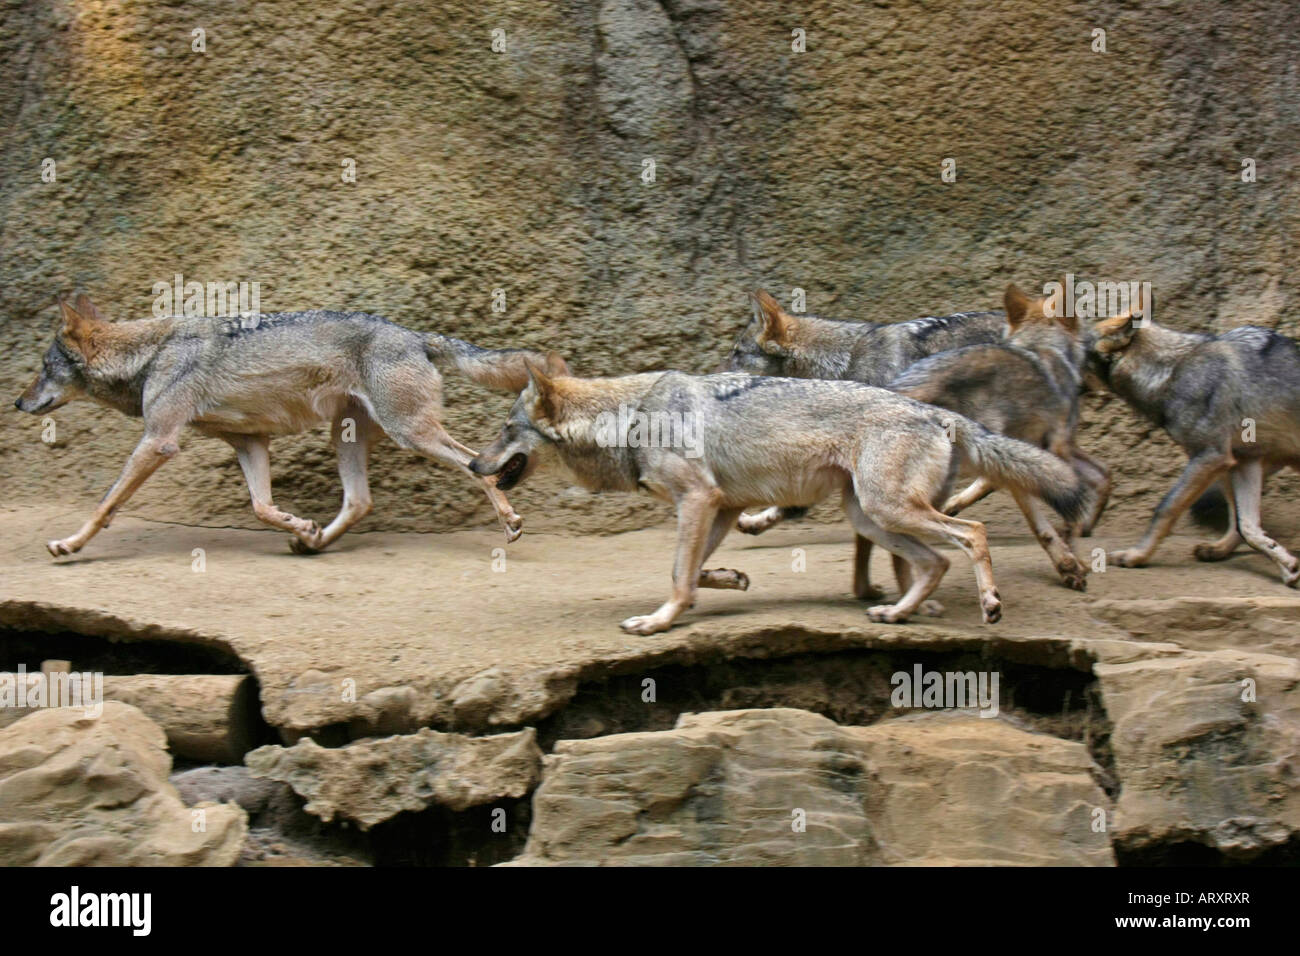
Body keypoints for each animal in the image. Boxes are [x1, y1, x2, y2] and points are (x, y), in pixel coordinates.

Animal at [14, 294, 567, 557]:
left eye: (42, 368)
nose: (18, 403)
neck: (149, 356)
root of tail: (415, 335)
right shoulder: (250, 441)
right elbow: (262, 507)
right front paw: (301, 526)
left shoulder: (159, 441)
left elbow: (104, 504)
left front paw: (69, 545)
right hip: (347, 436)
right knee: (360, 501)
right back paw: (313, 543)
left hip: (412, 434)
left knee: (476, 465)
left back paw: (510, 521)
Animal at [468, 363, 1089, 634]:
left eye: (504, 429)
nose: (475, 465)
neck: (632, 420)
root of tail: (938, 413)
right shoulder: (721, 507)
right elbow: (691, 568)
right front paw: (727, 581)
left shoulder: (698, 501)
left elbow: (677, 574)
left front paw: (660, 620)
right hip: (870, 516)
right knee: (933, 562)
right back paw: (895, 611)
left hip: (887, 510)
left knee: (971, 535)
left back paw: (989, 604)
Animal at [1090, 303, 1300, 585]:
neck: (1171, 373)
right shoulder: (1240, 460)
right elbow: (1247, 527)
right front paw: (1287, 567)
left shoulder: (1211, 457)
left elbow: (1165, 509)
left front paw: (1136, 556)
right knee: (1238, 524)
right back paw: (1219, 549)